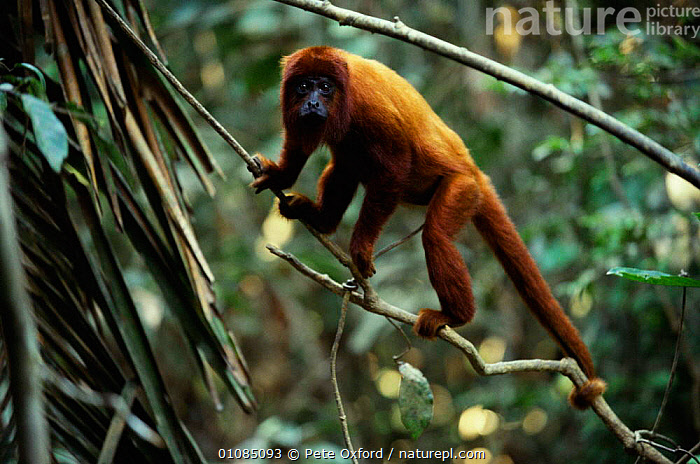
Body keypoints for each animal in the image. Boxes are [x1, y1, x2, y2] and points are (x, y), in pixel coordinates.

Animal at [252, 46, 605, 409]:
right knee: (346, 163)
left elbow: (393, 168)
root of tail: (476, 171)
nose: (311, 103)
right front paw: (280, 175)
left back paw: (455, 316)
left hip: (463, 189)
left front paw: (361, 248)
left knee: (435, 234)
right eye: (303, 86)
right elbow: (299, 146)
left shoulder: (369, 105)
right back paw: (320, 218)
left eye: (324, 88)